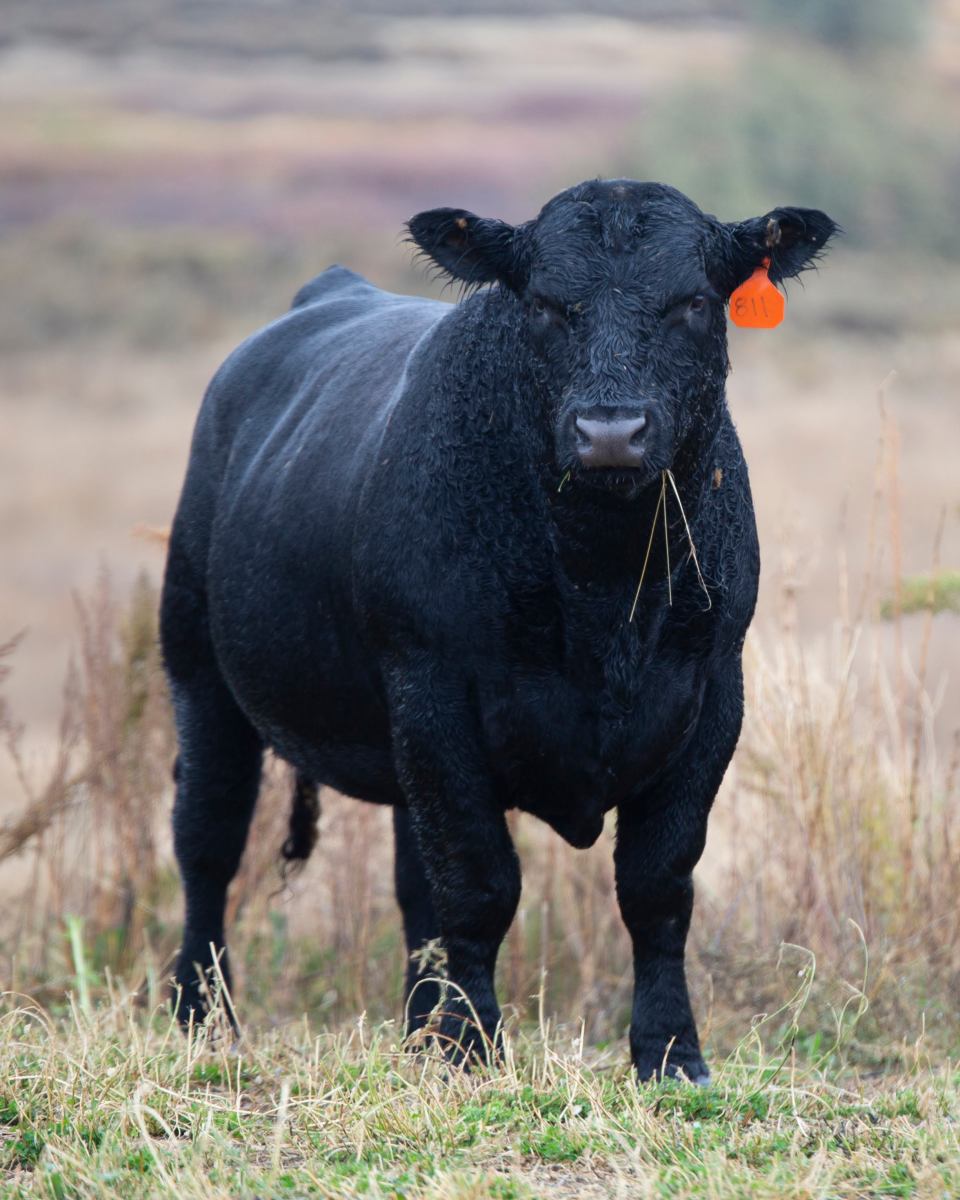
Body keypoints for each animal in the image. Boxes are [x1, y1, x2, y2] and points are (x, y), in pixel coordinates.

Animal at [160, 178, 836, 1083]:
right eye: (545, 304)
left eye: (694, 301)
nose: (610, 431)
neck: (601, 590)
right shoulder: (435, 690)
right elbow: (481, 882)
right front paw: (476, 1047)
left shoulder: (712, 693)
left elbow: (656, 885)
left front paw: (670, 1053)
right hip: (201, 673)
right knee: (208, 841)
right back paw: (203, 1017)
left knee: (411, 880)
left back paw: (419, 1028)